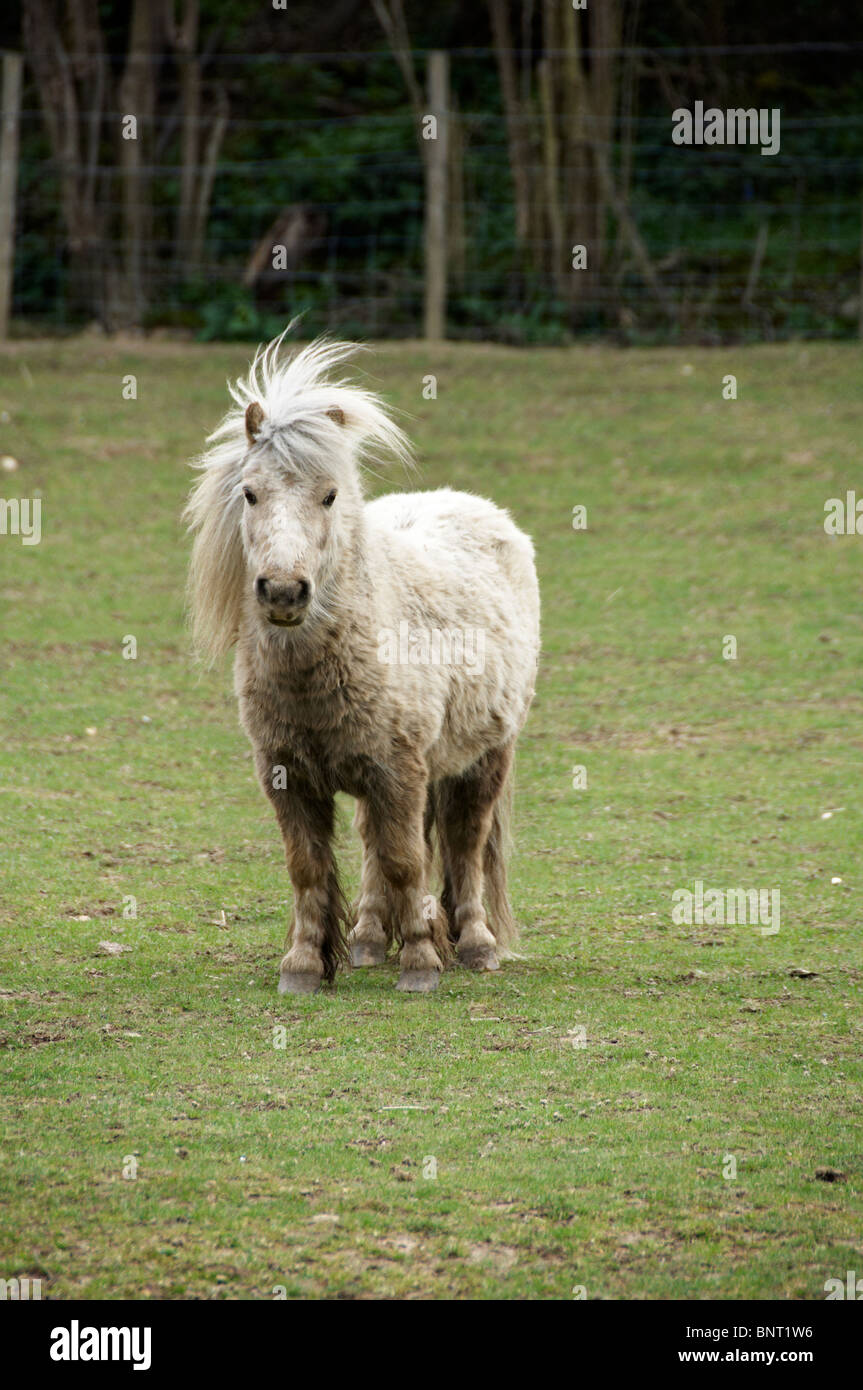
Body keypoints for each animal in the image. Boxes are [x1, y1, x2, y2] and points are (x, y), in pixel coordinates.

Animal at [184, 333, 540, 994]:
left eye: (329, 496)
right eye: (250, 493)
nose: (283, 591)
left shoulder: (398, 773)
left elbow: (407, 862)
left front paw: (421, 962)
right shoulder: (289, 775)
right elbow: (309, 867)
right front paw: (304, 965)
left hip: (485, 758)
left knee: (463, 845)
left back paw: (475, 944)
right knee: (380, 846)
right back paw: (372, 940)